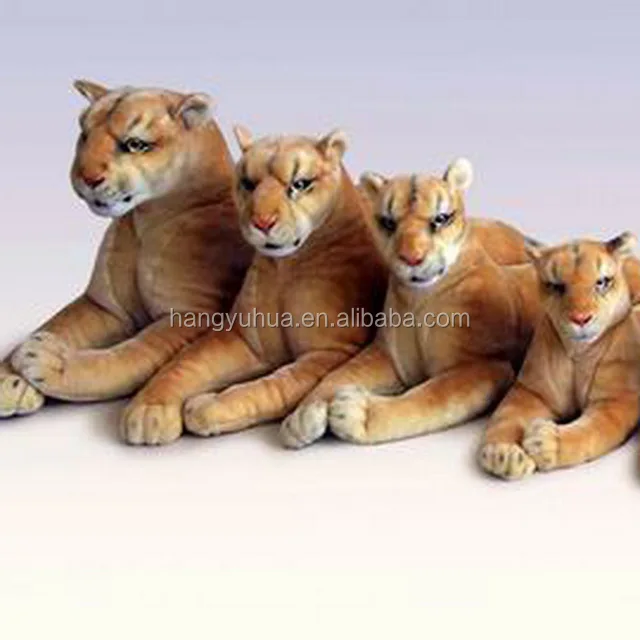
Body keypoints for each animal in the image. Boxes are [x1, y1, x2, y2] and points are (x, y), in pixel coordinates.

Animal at [0, 80, 253, 421]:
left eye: (135, 144)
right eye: (84, 135)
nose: (87, 178)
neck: (143, 221)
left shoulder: (190, 316)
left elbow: (127, 355)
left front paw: (52, 362)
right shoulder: (104, 305)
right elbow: (58, 323)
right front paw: (9, 379)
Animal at [119, 125, 388, 444]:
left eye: (299, 184)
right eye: (248, 184)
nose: (262, 222)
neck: (284, 267)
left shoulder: (330, 352)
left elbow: (274, 384)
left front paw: (207, 406)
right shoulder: (242, 337)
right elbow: (185, 363)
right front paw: (148, 409)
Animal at [279, 160, 543, 448]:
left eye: (440, 219)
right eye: (389, 222)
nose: (411, 258)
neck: (419, 300)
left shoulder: (485, 366)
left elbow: (430, 395)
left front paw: (357, 414)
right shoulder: (387, 356)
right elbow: (338, 374)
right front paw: (303, 415)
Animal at [479, 235, 640, 480]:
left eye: (601, 282)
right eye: (557, 286)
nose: (580, 318)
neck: (579, 353)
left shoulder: (615, 402)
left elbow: (591, 431)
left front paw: (545, 442)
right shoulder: (532, 392)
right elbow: (505, 418)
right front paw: (504, 454)